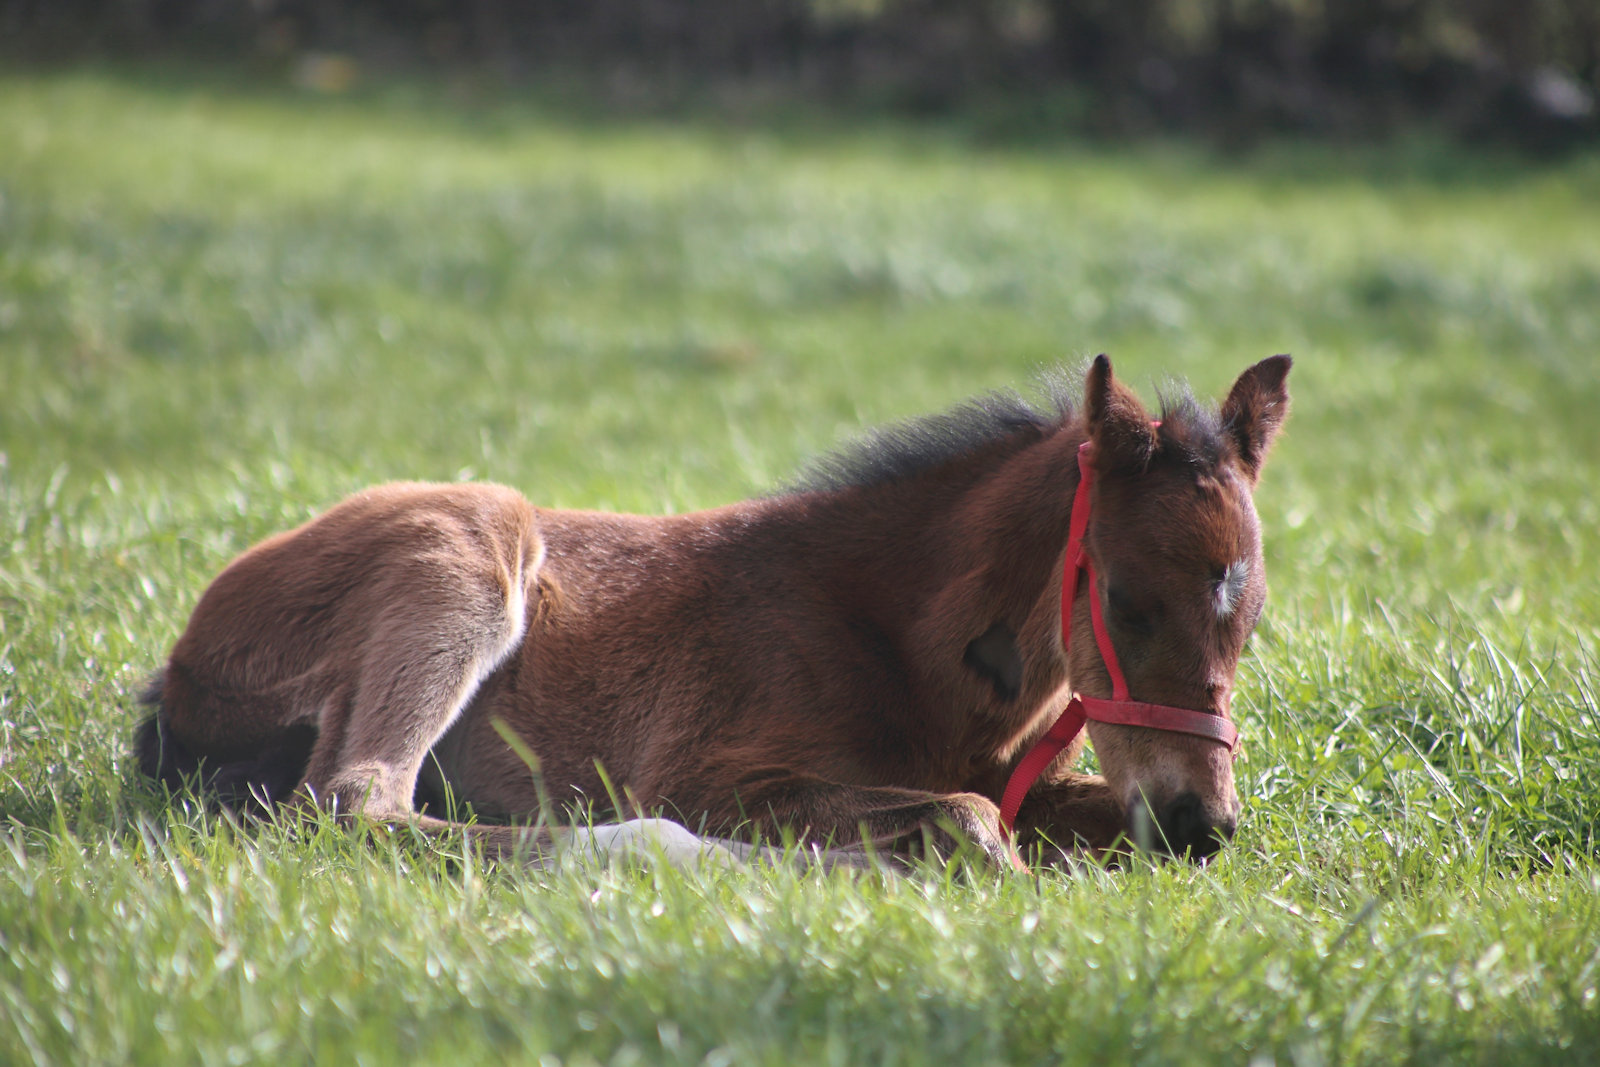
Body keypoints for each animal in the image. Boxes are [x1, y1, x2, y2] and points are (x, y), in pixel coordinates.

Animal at [134, 354, 1291, 870]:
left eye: (1252, 613)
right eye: (1125, 597)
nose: (1201, 822)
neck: (895, 640)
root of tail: (179, 668)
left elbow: (1036, 814)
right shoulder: (713, 771)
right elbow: (971, 823)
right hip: (468, 552)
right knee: (357, 797)